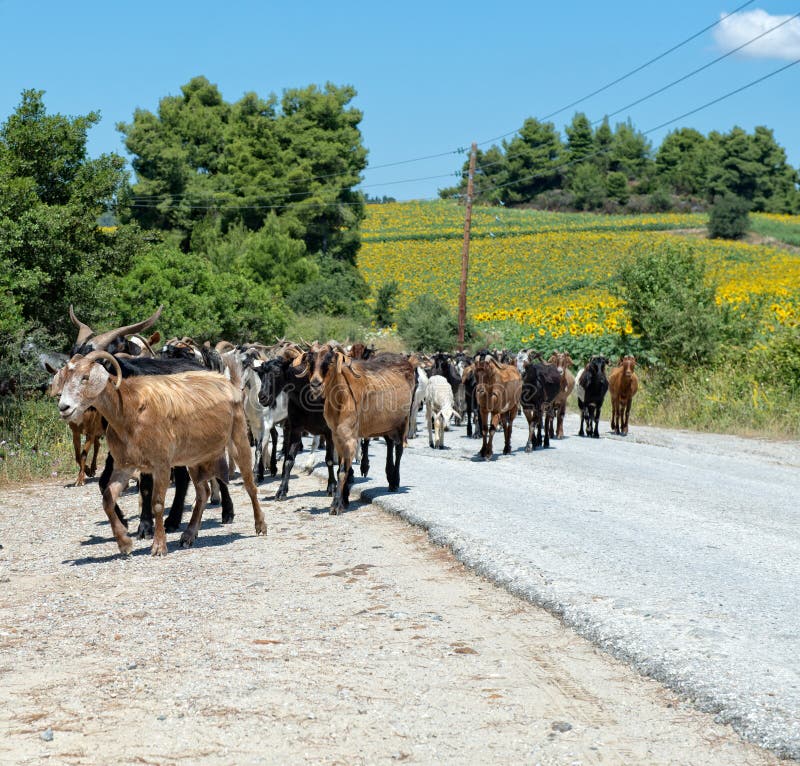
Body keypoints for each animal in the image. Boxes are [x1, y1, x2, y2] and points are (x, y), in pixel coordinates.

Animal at [57, 351, 266, 556]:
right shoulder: (125, 465)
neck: (130, 408)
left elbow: (157, 503)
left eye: (85, 377)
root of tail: (228, 383)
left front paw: (158, 546)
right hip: (194, 456)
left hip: (238, 440)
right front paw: (124, 543)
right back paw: (188, 535)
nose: (63, 407)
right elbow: (107, 498)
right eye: (64, 378)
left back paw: (259, 525)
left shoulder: (161, 464)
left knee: (249, 485)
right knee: (203, 492)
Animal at [304, 344, 415, 514]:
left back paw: (395, 481)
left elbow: (343, 470)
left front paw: (336, 504)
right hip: (386, 423)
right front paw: (344, 500)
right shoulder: (337, 436)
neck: (343, 396)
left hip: (404, 420)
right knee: (390, 444)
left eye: (330, 360)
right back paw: (389, 477)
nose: (316, 384)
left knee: (399, 449)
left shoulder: (349, 436)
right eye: (310, 360)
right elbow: (341, 467)